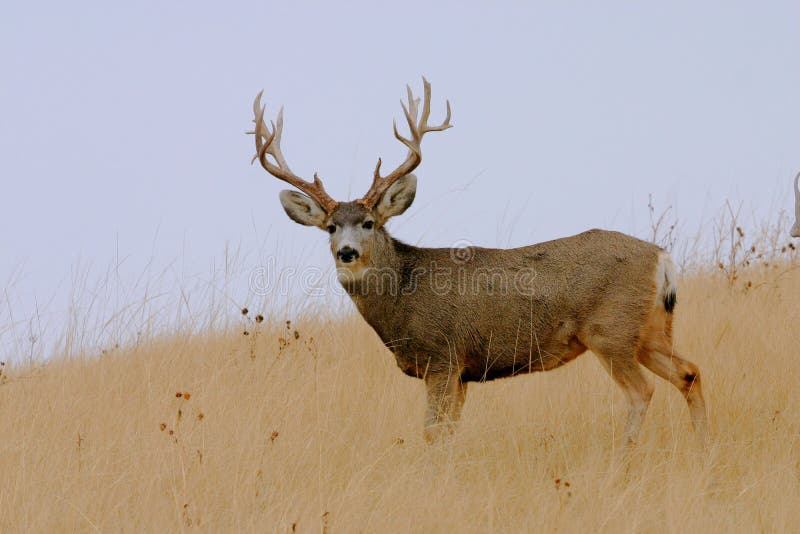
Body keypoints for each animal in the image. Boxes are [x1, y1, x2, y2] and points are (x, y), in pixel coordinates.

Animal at [248, 78, 709, 451]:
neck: (402, 297)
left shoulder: (443, 356)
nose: (347, 252)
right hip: (649, 329)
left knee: (642, 391)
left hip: (609, 329)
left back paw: (626, 454)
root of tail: (662, 257)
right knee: (689, 371)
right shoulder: (463, 372)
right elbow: (450, 431)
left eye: (368, 223)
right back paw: (703, 445)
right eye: (329, 227)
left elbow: (433, 431)